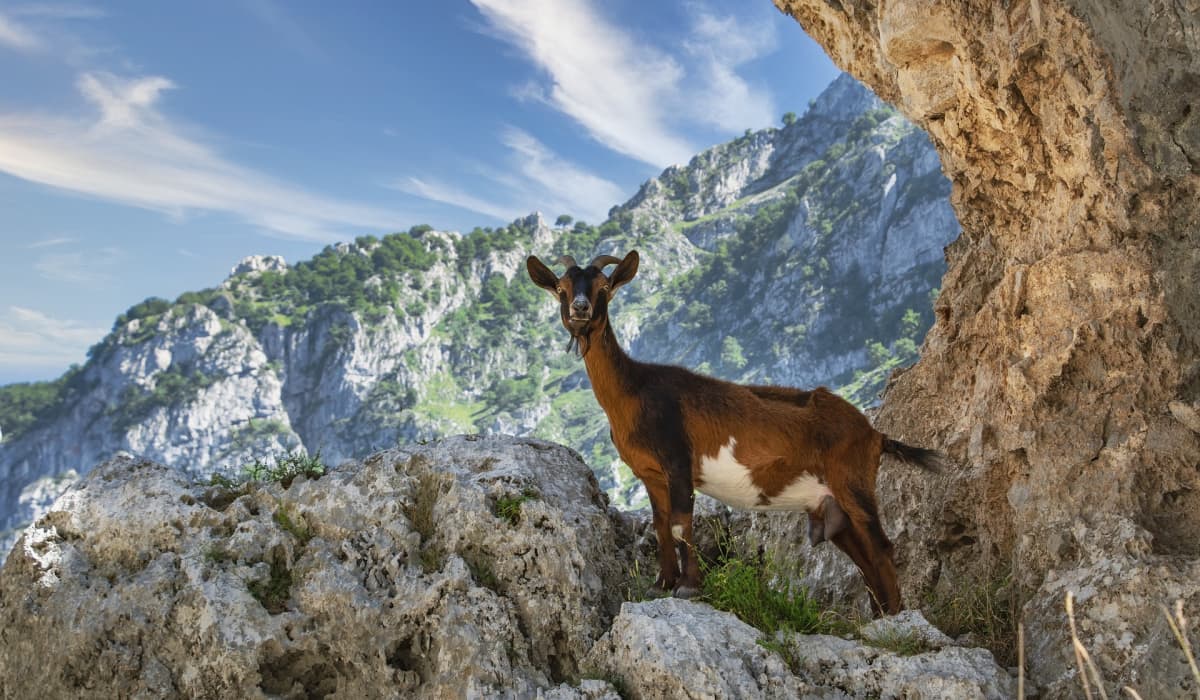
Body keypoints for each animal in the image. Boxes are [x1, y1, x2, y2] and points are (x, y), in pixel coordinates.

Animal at [527, 250, 944, 616]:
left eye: (604, 287)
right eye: (562, 288)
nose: (580, 309)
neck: (636, 391)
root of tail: (875, 434)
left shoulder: (678, 461)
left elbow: (680, 524)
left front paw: (689, 586)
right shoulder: (650, 474)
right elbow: (661, 526)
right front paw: (663, 584)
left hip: (853, 482)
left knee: (882, 548)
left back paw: (895, 620)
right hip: (831, 504)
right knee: (864, 557)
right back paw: (878, 615)